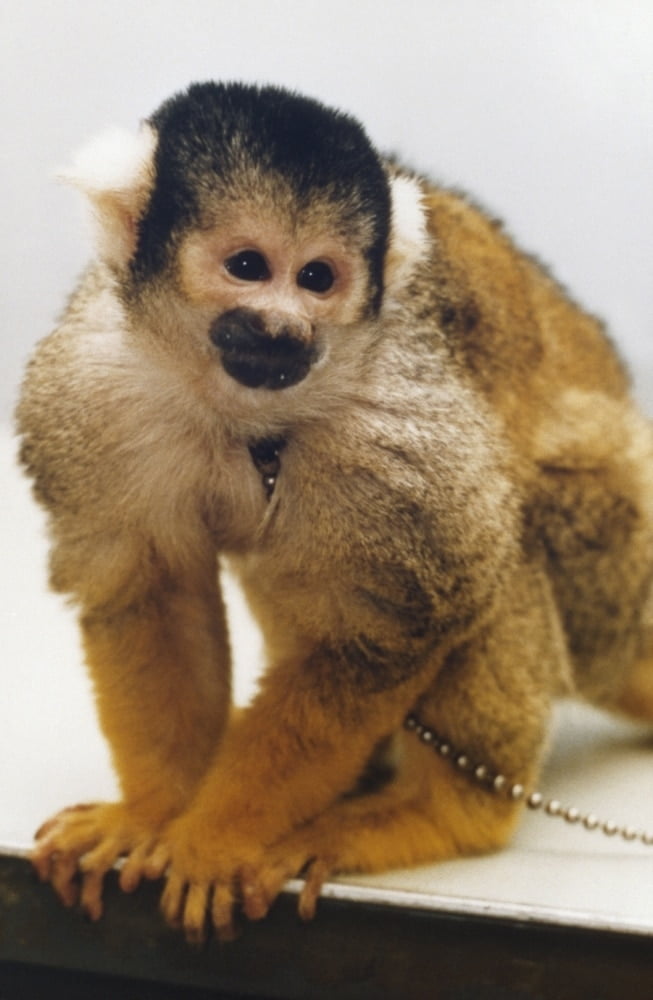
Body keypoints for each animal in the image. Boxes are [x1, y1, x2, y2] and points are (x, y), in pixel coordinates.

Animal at [15, 81, 653, 944]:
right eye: (248, 267)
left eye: (319, 277)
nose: (286, 328)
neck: (244, 406)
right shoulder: (94, 386)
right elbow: (150, 588)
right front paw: (151, 815)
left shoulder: (396, 440)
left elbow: (396, 626)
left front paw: (215, 837)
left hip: (608, 571)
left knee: (504, 542)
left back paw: (445, 814)